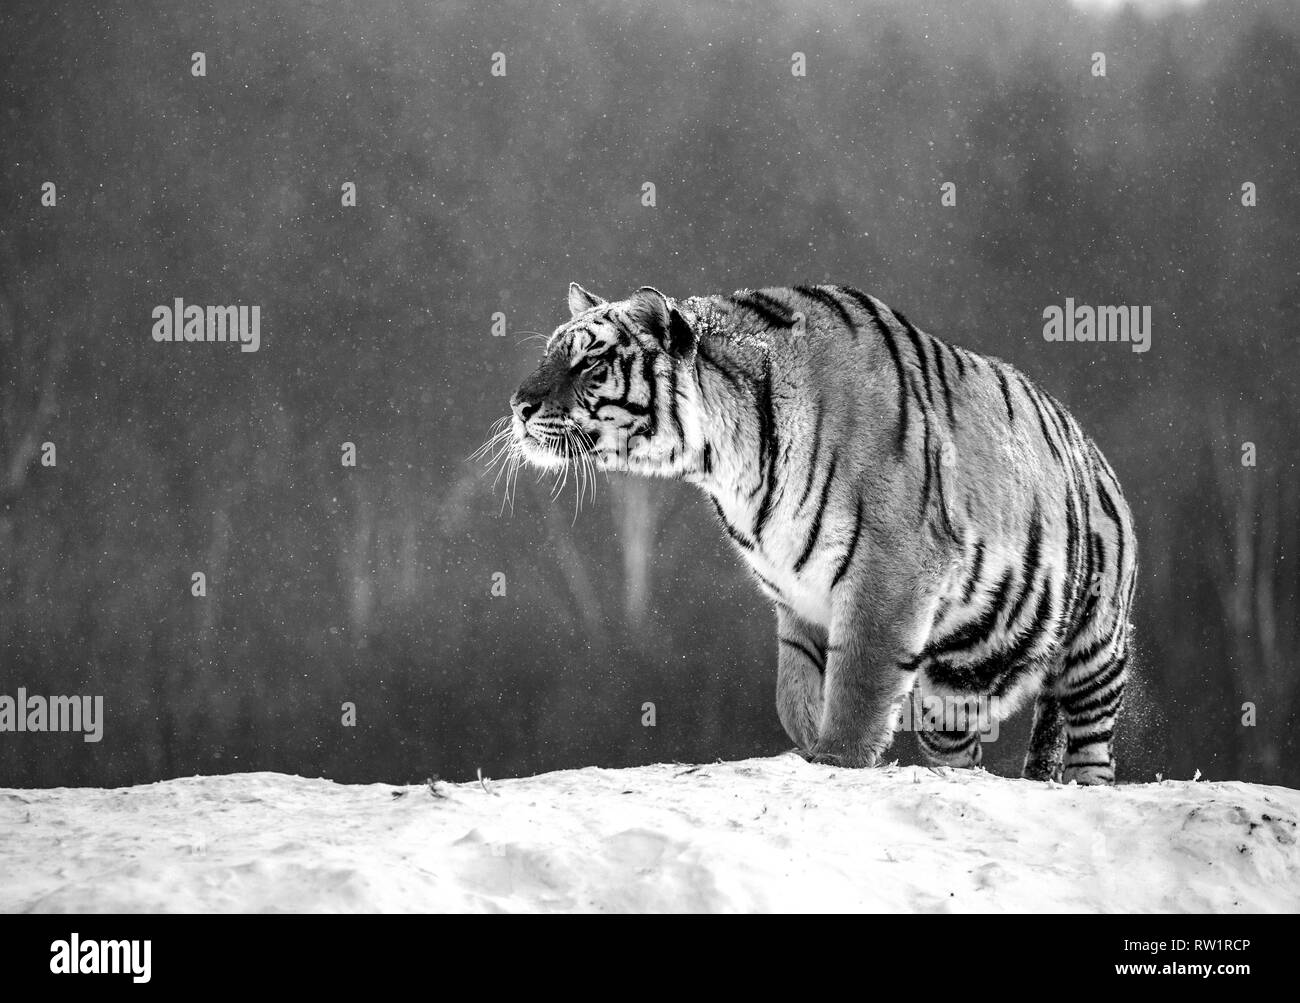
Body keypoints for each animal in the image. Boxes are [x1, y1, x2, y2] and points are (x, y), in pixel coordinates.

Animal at [499, 281, 1138, 784]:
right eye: (552, 354)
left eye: (590, 363)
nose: (518, 405)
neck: (723, 459)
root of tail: (1094, 450)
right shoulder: (796, 591)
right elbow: (795, 691)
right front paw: (808, 747)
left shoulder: (889, 571)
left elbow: (858, 681)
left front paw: (837, 759)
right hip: (956, 685)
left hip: (1096, 647)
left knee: (1090, 746)